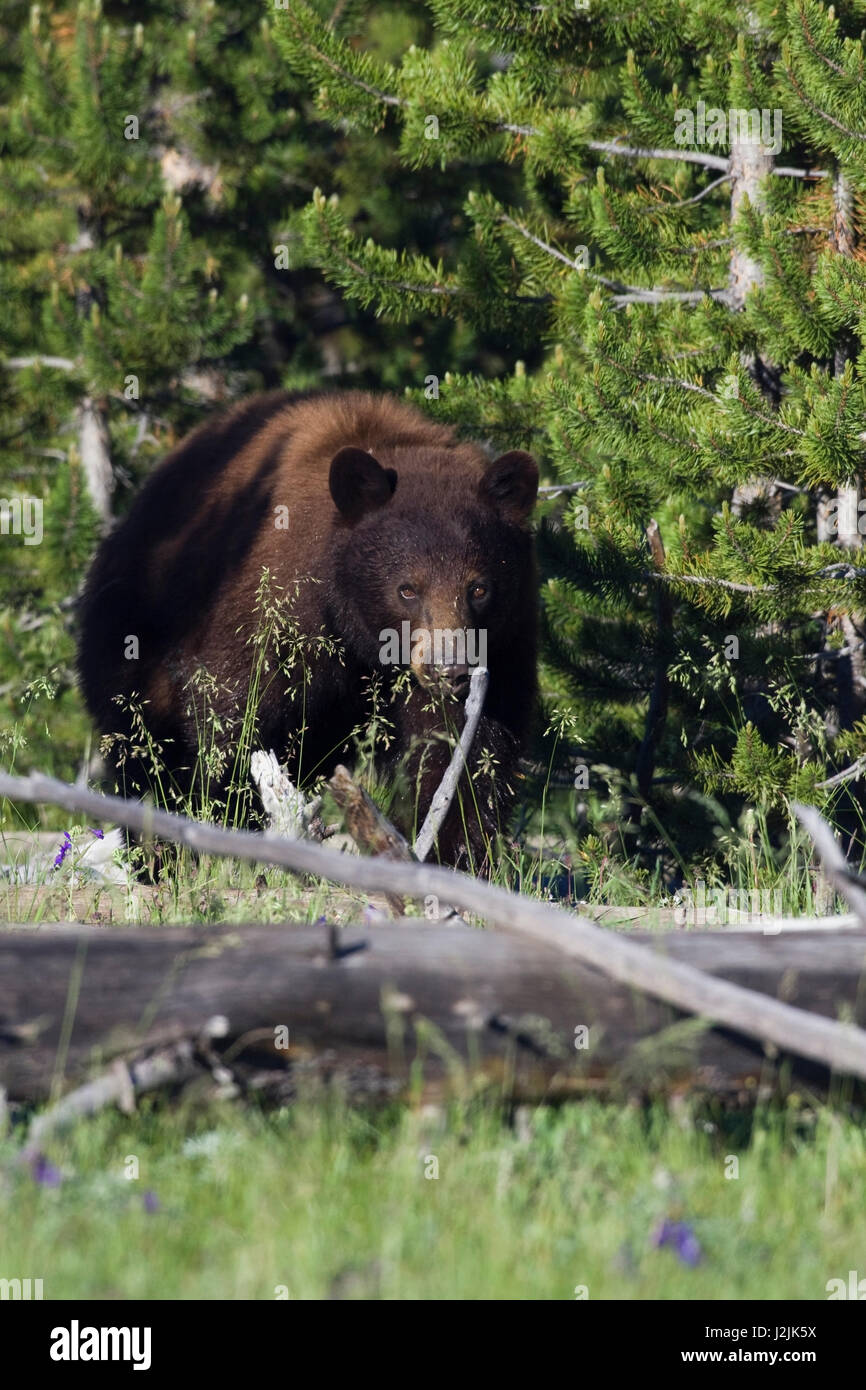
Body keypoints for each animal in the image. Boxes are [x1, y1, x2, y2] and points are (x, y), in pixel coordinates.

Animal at [77, 390, 539, 869]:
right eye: (407, 588)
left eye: (479, 587)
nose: (450, 670)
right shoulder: (274, 617)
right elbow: (233, 722)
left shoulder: (504, 642)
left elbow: (464, 752)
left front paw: (458, 853)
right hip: (132, 643)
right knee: (143, 754)